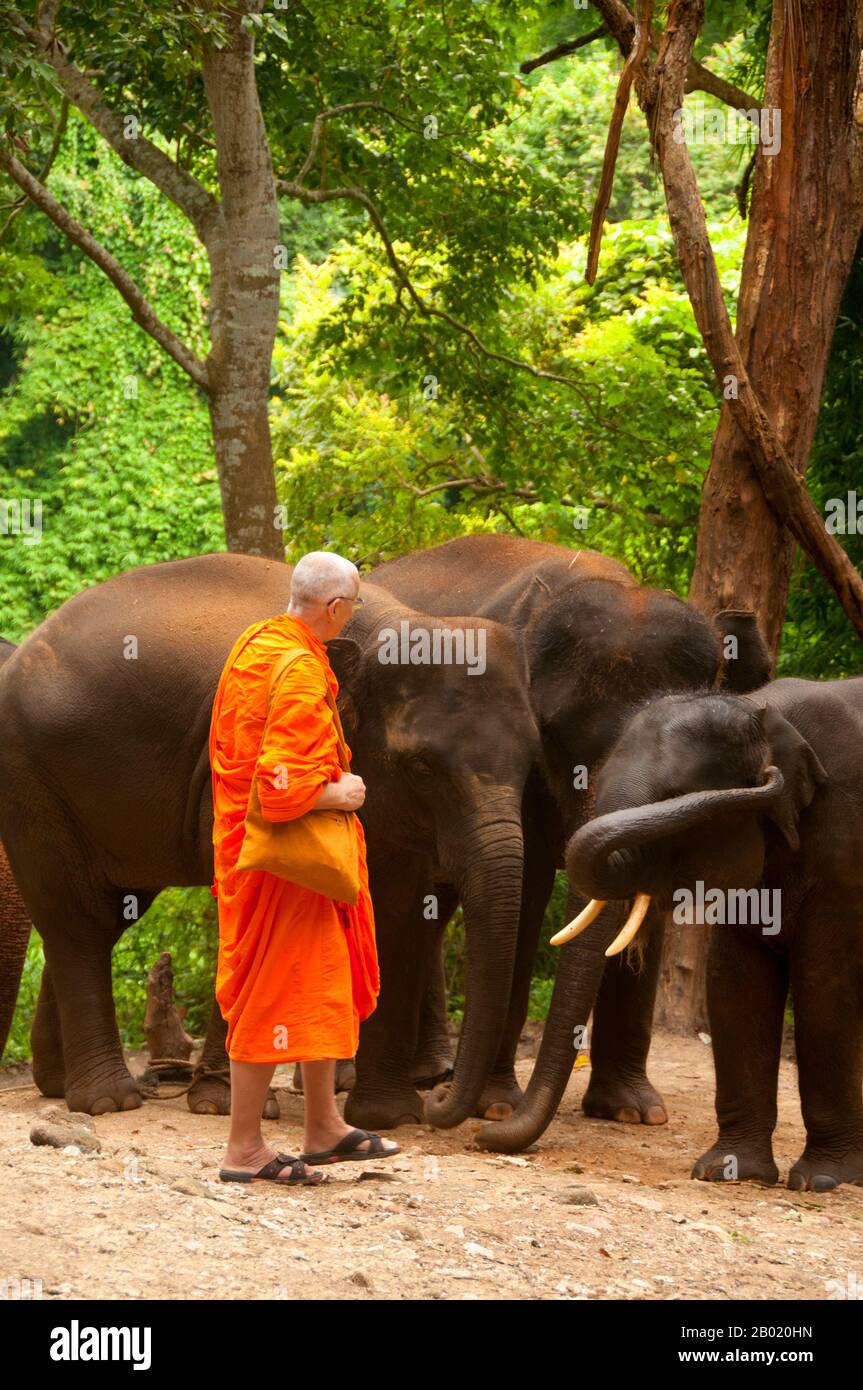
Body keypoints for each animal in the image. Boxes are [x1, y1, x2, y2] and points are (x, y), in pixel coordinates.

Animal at [0, 553, 540, 1127]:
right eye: (421, 766)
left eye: (532, 761)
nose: (440, 1098)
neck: (383, 626)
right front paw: (224, 1105)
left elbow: (403, 914)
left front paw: (387, 1117)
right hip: (27, 779)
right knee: (77, 921)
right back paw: (108, 1101)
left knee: (107, 913)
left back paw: (60, 1086)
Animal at [372, 533, 771, 1149]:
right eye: (552, 735)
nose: (486, 1127)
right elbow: (528, 885)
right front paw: (494, 1106)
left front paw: (632, 1112)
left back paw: (432, 1073)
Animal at [563, 677, 863, 1192]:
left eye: (675, 797)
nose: (767, 778)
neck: (760, 710)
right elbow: (733, 983)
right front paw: (725, 1171)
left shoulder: (846, 844)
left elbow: (826, 985)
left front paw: (822, 1180)